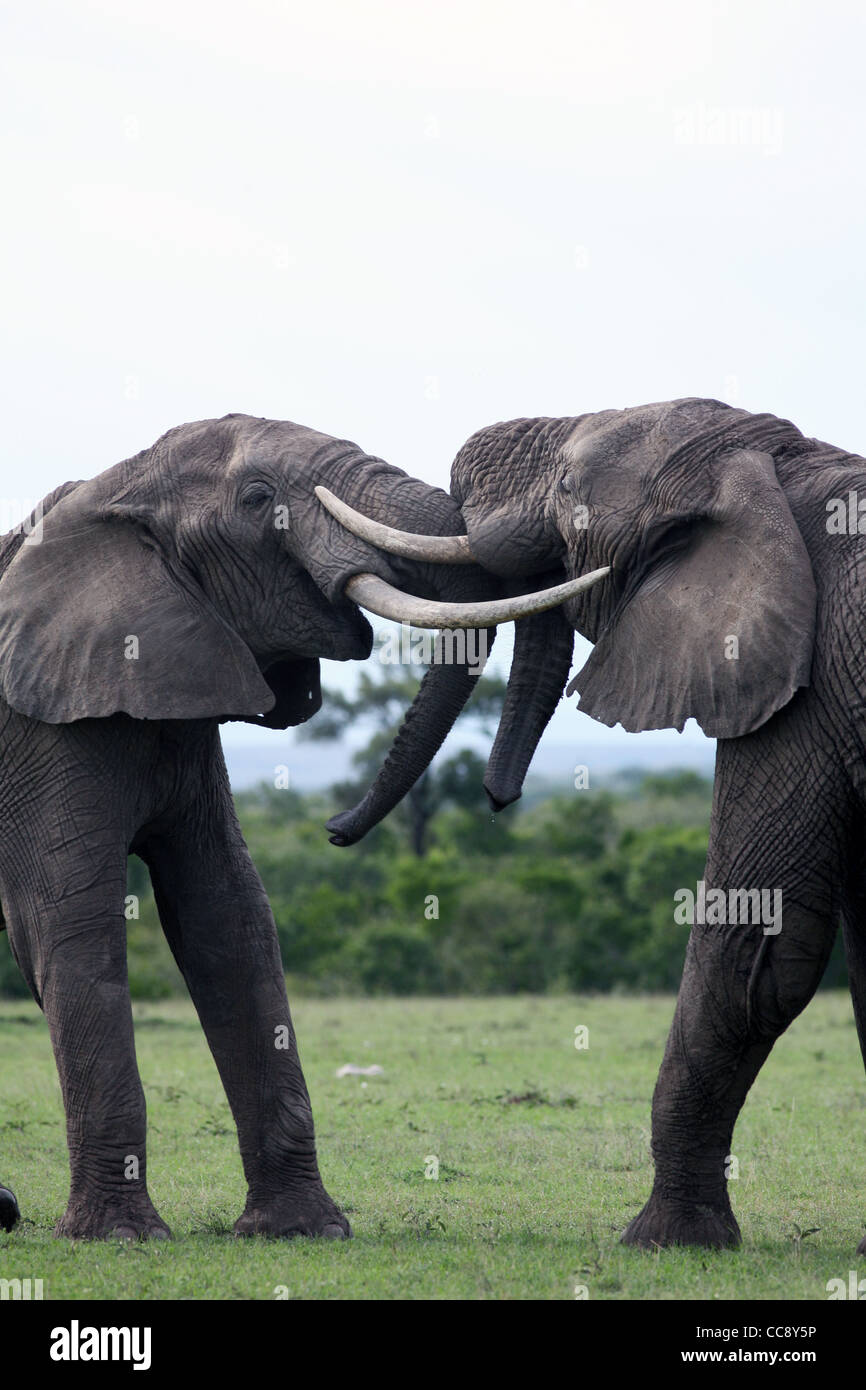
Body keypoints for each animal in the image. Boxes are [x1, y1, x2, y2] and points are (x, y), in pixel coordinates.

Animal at [0, 412, 605, 1240]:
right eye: (259, 499)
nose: (335, 829)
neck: (112, 487)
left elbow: (230, 917)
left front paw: (300, 1229)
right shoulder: (43, 730)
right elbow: (70, 918)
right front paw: (119, 1238)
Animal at [318, 396, 866, 1252]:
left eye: (568, 486)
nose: (333, 831)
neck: (773, 464)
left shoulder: (799, 680)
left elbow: (757, 938)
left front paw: (665, 1240)